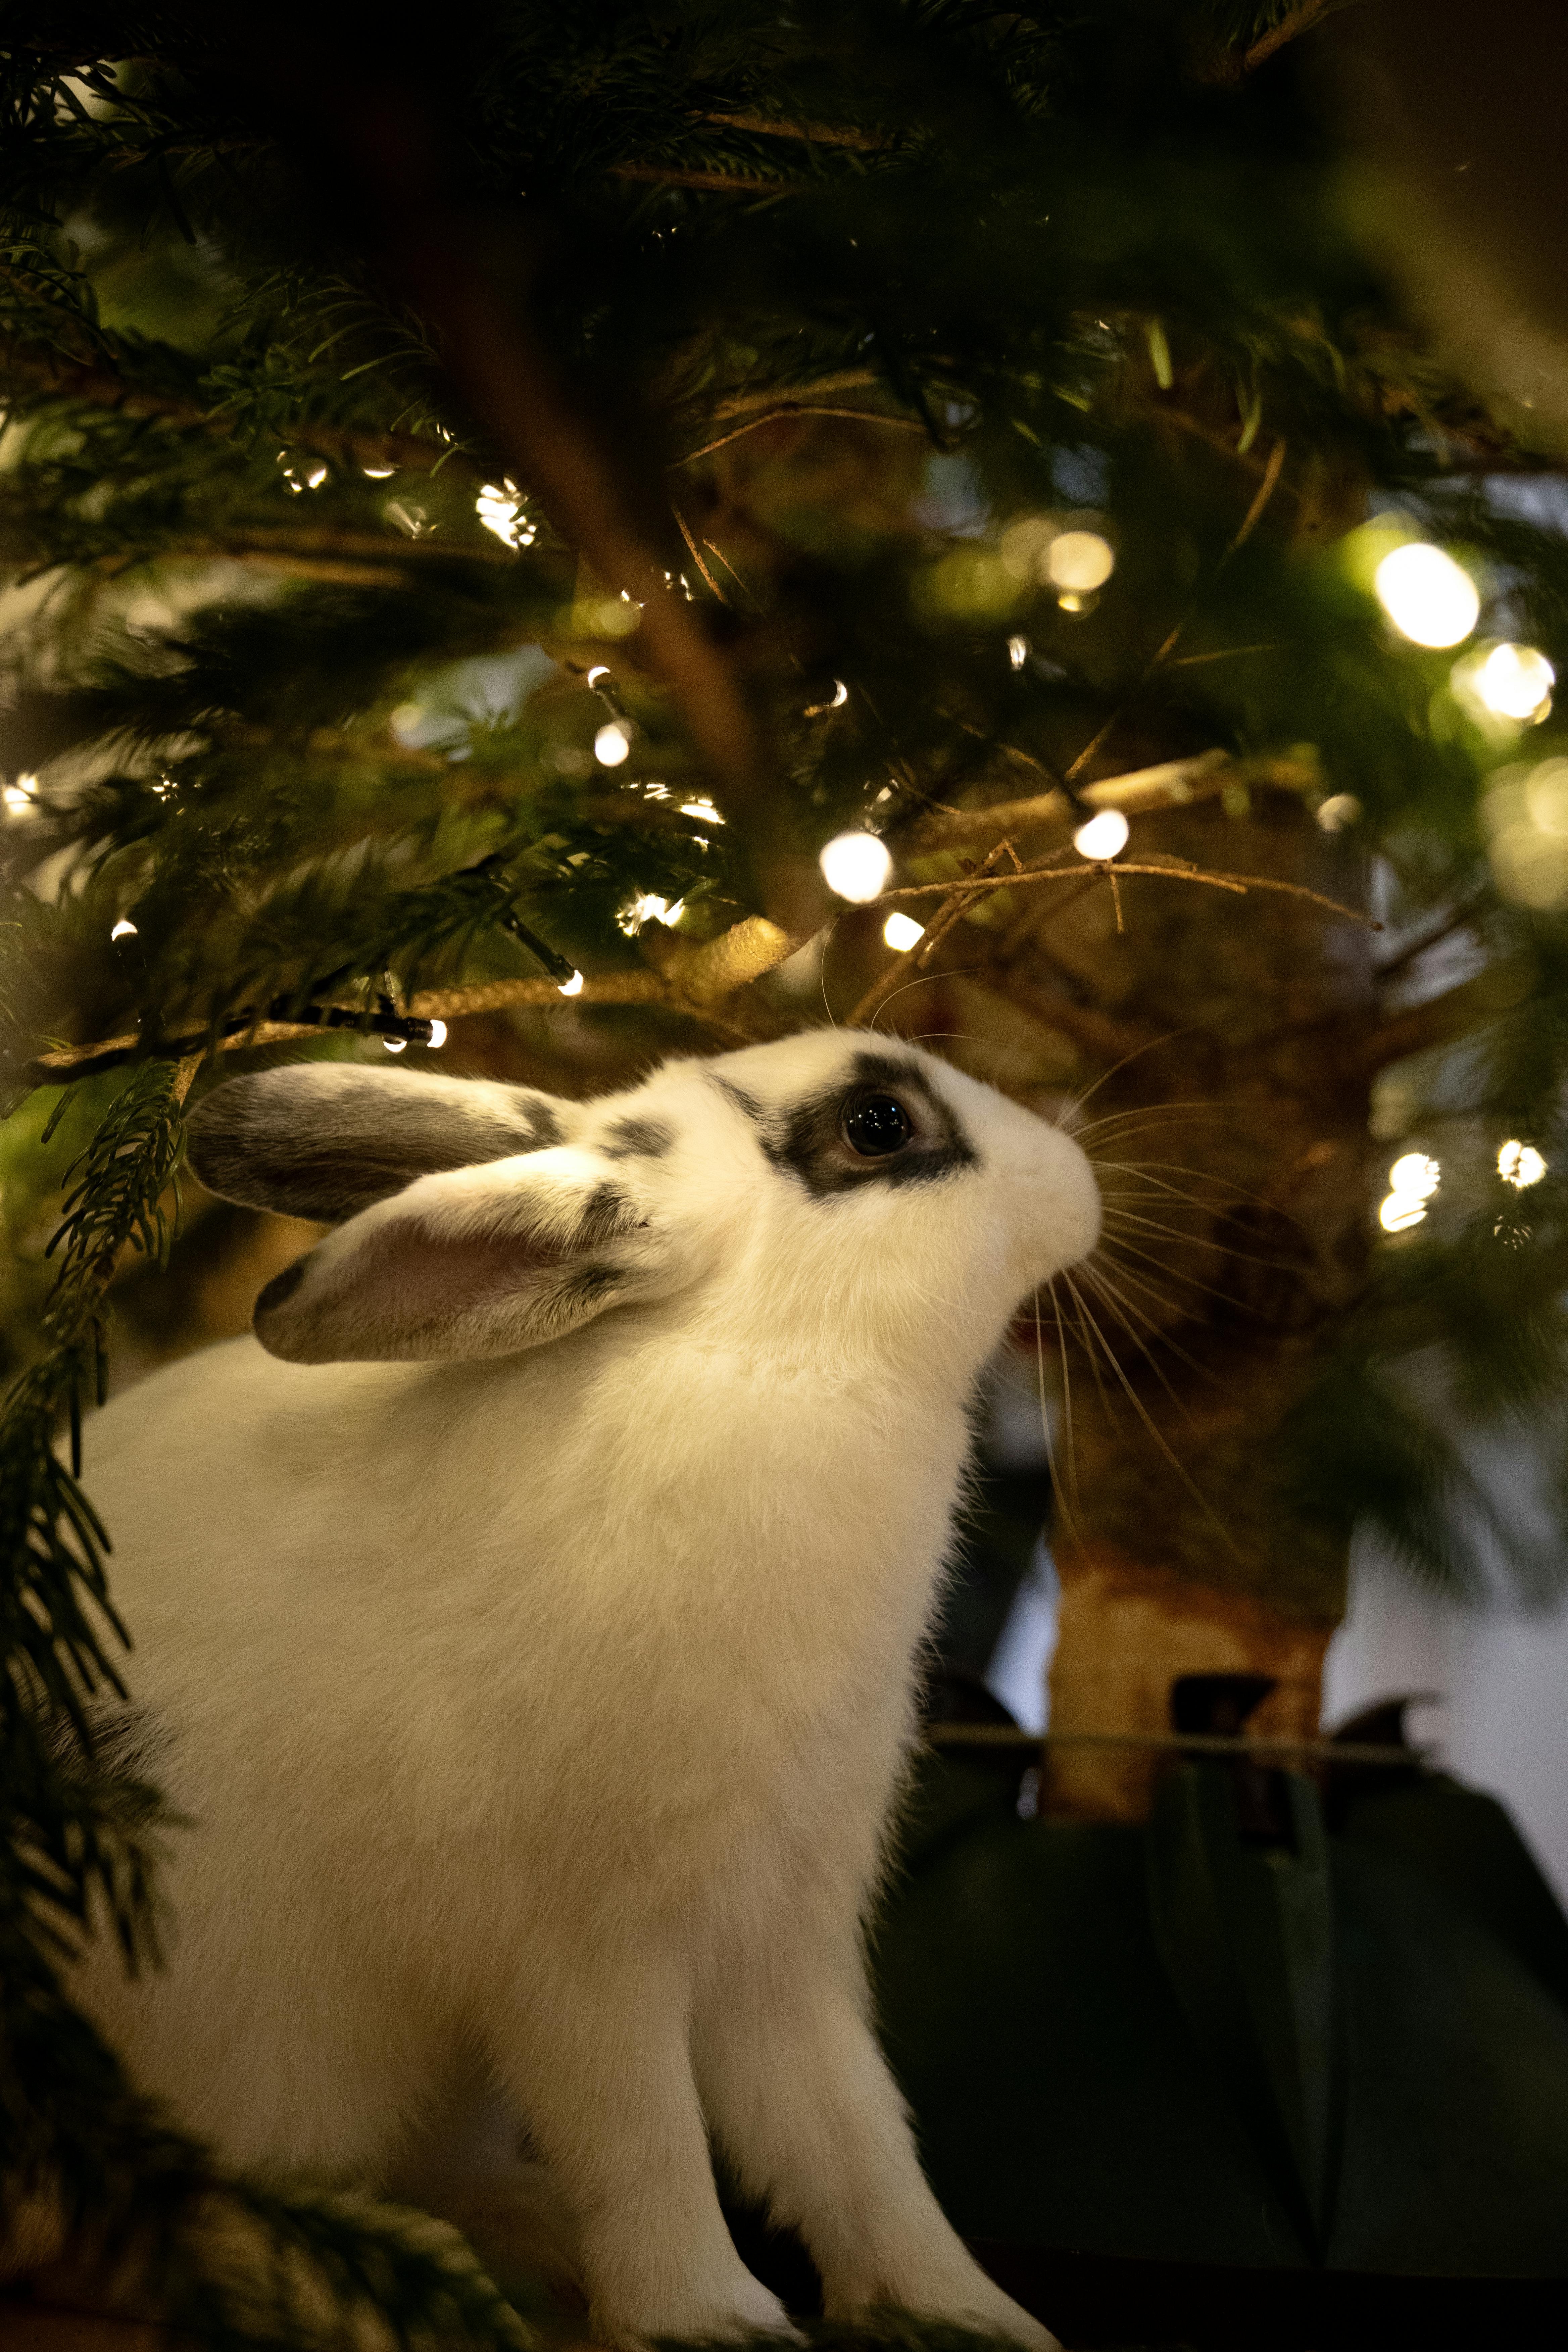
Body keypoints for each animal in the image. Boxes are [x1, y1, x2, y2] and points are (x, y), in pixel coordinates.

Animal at [67, 1028, 1099, 2350]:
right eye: (878, 1125)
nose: (1079, 1174)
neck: (765, 1364)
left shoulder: (785, 1932)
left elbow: (854, 2138)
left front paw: (971, 2314)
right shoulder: (583, 1951)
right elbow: (644, 2139)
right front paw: (711, 2319)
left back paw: (522, 2241)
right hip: (234, 2037)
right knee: (189, 2200)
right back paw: (384, 2293)